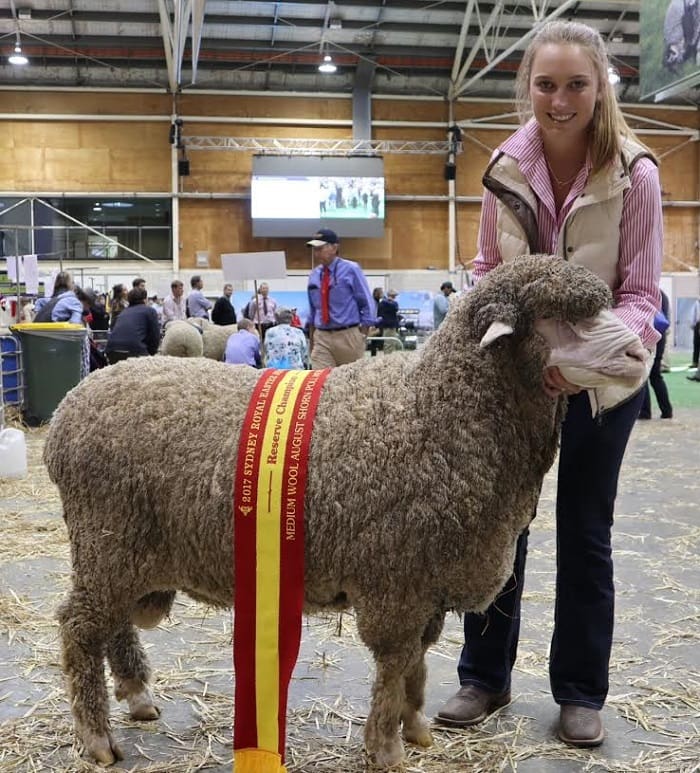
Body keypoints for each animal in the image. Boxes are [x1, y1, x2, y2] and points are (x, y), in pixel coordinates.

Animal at [45, 256, 649, 768]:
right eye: (554, 319)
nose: (641, 355)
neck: (438, 409)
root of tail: (65, 414)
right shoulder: (395, 582)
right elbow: (394, 665)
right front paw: (386, 748)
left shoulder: (424, 584)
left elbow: (417, 665)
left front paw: (416, 730)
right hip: (108, 539)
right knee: (80, 627)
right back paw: (98, 739)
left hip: (121, 550)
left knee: (113, 625)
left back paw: (138, 697)